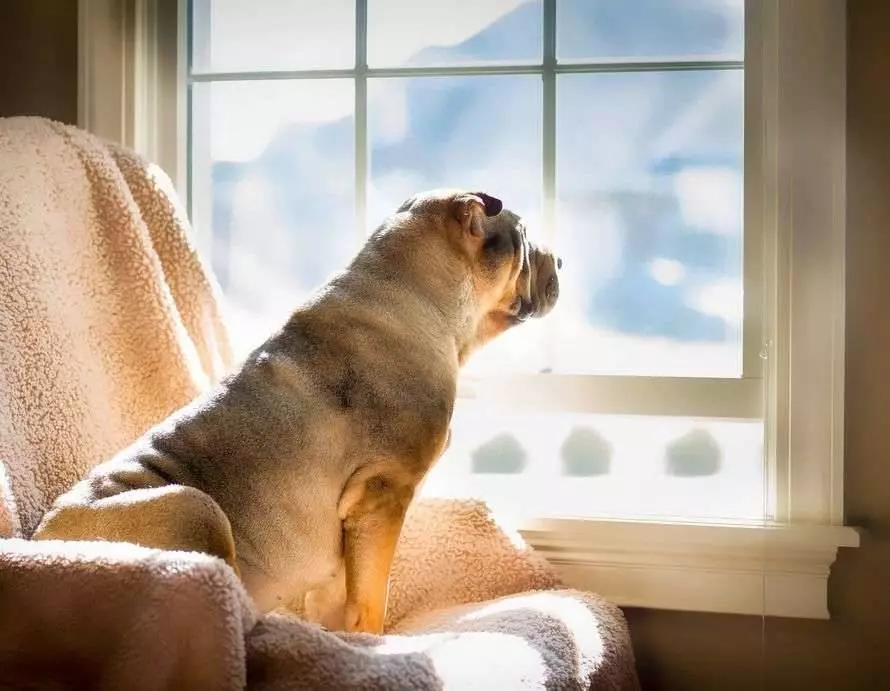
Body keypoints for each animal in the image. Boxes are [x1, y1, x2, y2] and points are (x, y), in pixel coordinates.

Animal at [36, 188, 560, 632]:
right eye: (525, 239)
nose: (560, 258)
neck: (413, 293)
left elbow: (341, 592)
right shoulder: (384, 494)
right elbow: (371, 594)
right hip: (194, 505)